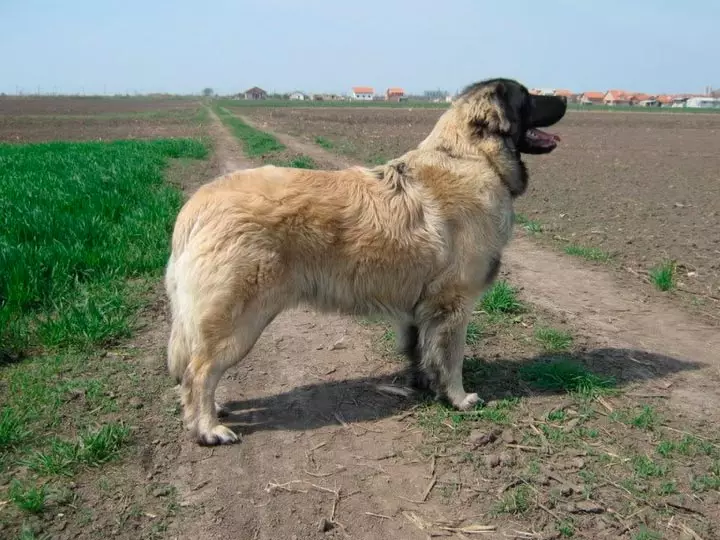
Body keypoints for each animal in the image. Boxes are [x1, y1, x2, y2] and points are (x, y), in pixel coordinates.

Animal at [166, 78, 564, 446]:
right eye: (527, 96)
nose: (562, 99)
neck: (470, 156)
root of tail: (198, 205)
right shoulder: (454, 303)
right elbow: (451, 357)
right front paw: (459, 398)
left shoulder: (420, 309)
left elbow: (422, 352)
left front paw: (424, 387)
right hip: (240, 320)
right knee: (199, 372)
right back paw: (208, 429)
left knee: (195, 372)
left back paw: (211, 411)